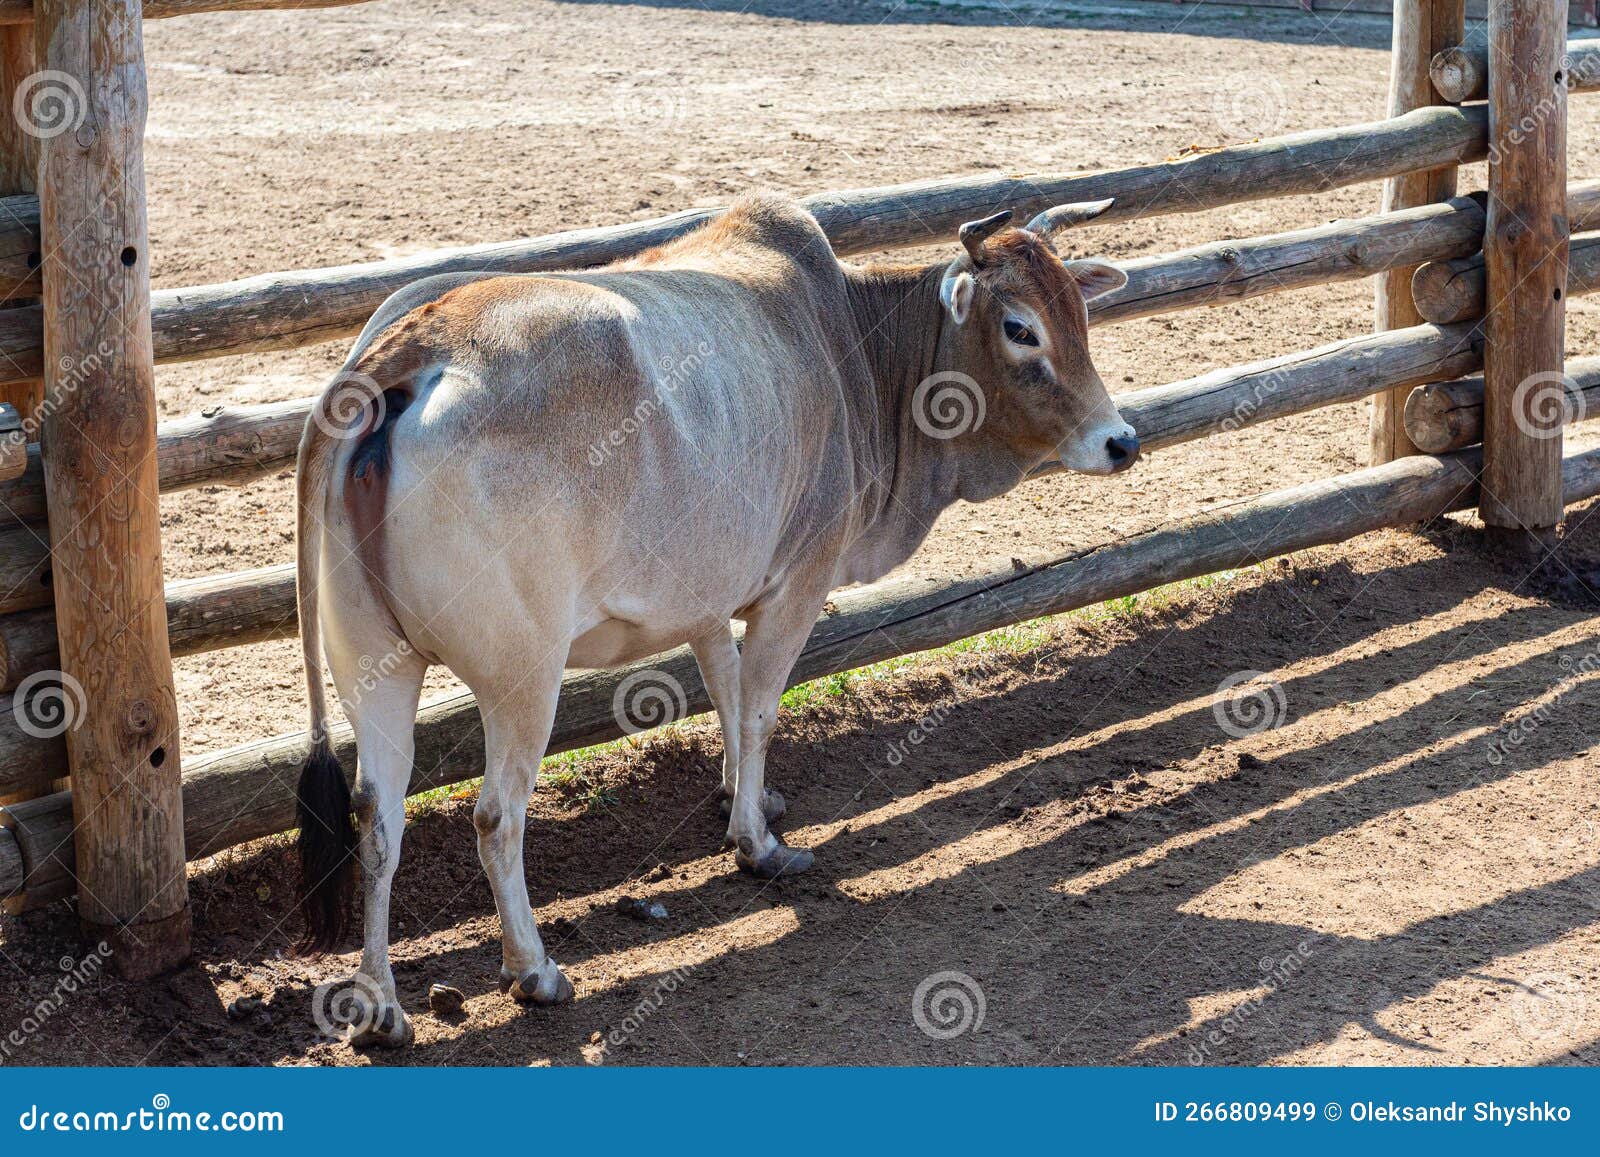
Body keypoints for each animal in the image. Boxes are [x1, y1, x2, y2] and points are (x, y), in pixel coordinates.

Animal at [293, 194, 1138, 1046]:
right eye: (1020, 327)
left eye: (1079, 312)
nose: (1121, 440)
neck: (855, 351)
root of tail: (412, 345)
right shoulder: (799, 581)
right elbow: (761, 708)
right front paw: (759, 844)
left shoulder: (706, 594)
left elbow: (726, 692)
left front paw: (745, 798)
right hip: (522, 675)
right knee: (498, 815)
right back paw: (533, 970)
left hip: (377, 666)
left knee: (378, 818)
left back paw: (382, 1008)